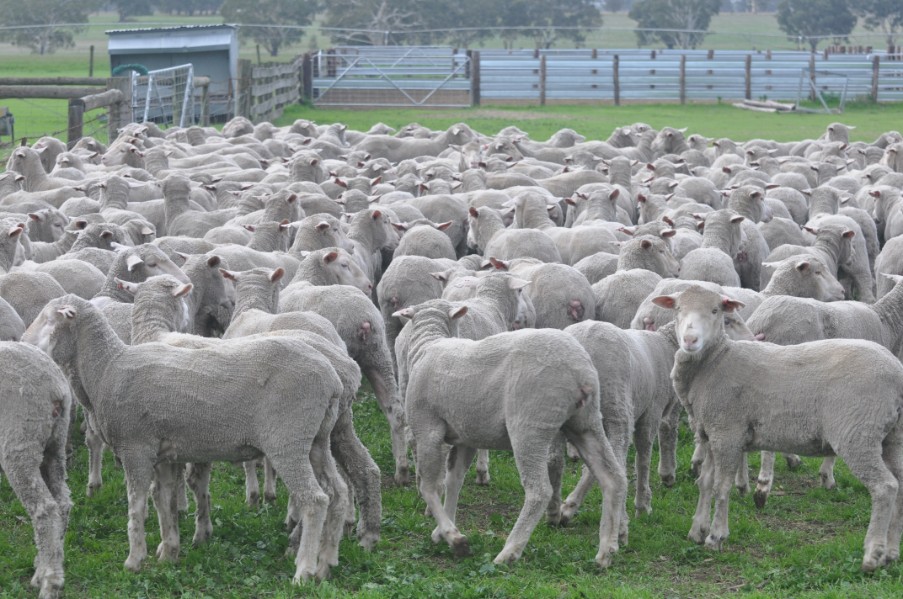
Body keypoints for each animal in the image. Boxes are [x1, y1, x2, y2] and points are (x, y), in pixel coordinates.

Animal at [0, 342, 73, 599]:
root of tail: (56, 386)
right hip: (55, 444)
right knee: (62, 502)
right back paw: (47, 566)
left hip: (20, 441)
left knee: (45, 508)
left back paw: (49, 582)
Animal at [24, 294, 348, 583]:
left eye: (47, 318)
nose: (24, 343)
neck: (105, 370)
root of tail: (333, 379)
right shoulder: (164, 454)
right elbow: (164, 502)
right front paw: (169, 551)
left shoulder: (136, 448)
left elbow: (136, 505)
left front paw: (134, 559)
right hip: (316, 439)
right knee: (338, 492)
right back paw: (326, 564)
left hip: (288, 440)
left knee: (315, 499)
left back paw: (304, 570)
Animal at [394, 299, 626, 568]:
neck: (427, 345)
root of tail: (581, 371)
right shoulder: (466, 436)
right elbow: (454, 481)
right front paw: (442, 531)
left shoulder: (428, 430)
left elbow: (429, 487)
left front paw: (455, 538)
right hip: (585, 421)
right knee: (612, 477)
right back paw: (606, 551)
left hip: (530, 425)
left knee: (539, 491)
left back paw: (510, 551)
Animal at [652, 285, 903, 572]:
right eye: (677, 309)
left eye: (716, 311)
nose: (690, 340)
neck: (715, 362)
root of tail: (896, 371)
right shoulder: (711, 433)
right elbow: (704, 483)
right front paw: (697, 530)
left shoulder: (727, 432)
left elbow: (721, 487)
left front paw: (716, 536)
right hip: (891, 435)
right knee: (899, 484)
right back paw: (892, 553)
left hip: (859, 433)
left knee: (885, 487)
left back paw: (873, 555)